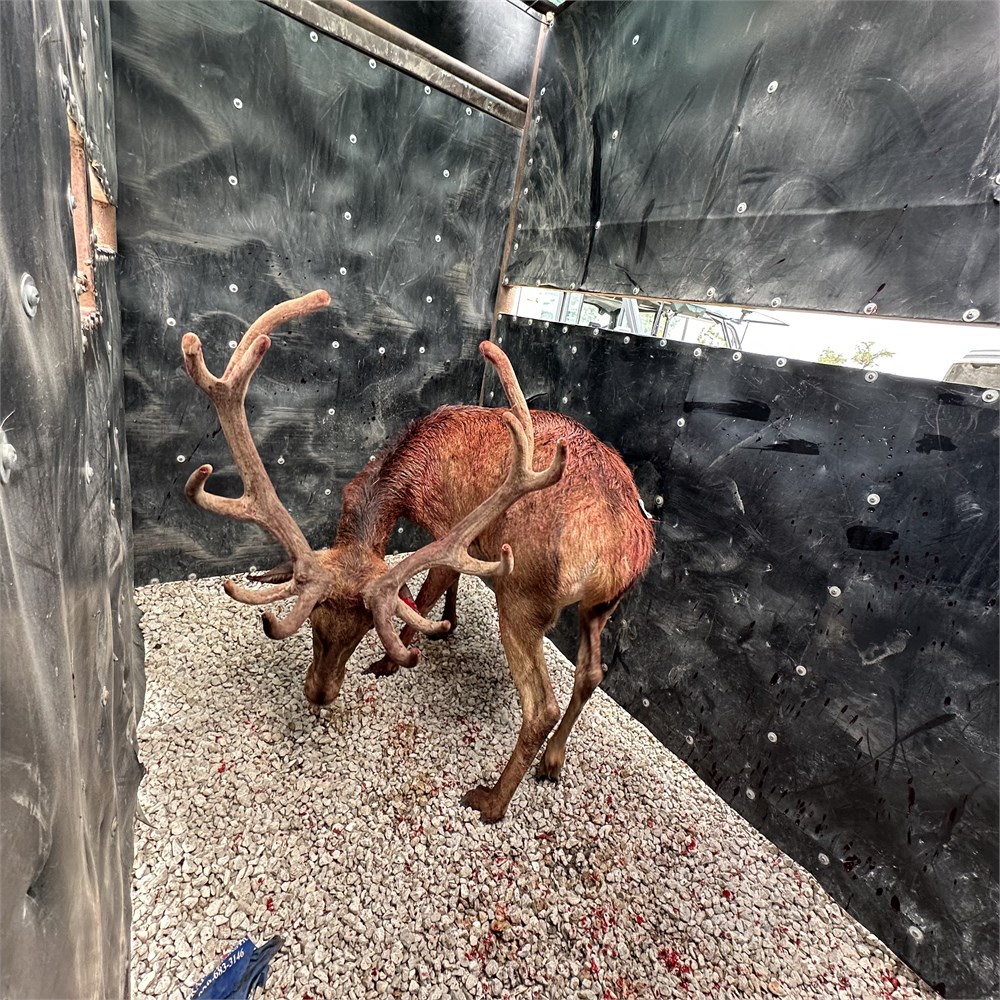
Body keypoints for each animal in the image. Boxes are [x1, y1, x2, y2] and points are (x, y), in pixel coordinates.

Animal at [180, 290, 654, 822]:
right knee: (591, 672)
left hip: (523, 596)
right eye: (317, 626)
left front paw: (397, 657)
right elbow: (444, 592)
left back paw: (490, 800)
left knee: (541, 706)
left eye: (361, 633)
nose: (320, 694)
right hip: (601, 607)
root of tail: (619, 553)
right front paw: (448, 624)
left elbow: (424, 595)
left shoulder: (451, 531)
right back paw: (553, 761)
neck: (412, 467)